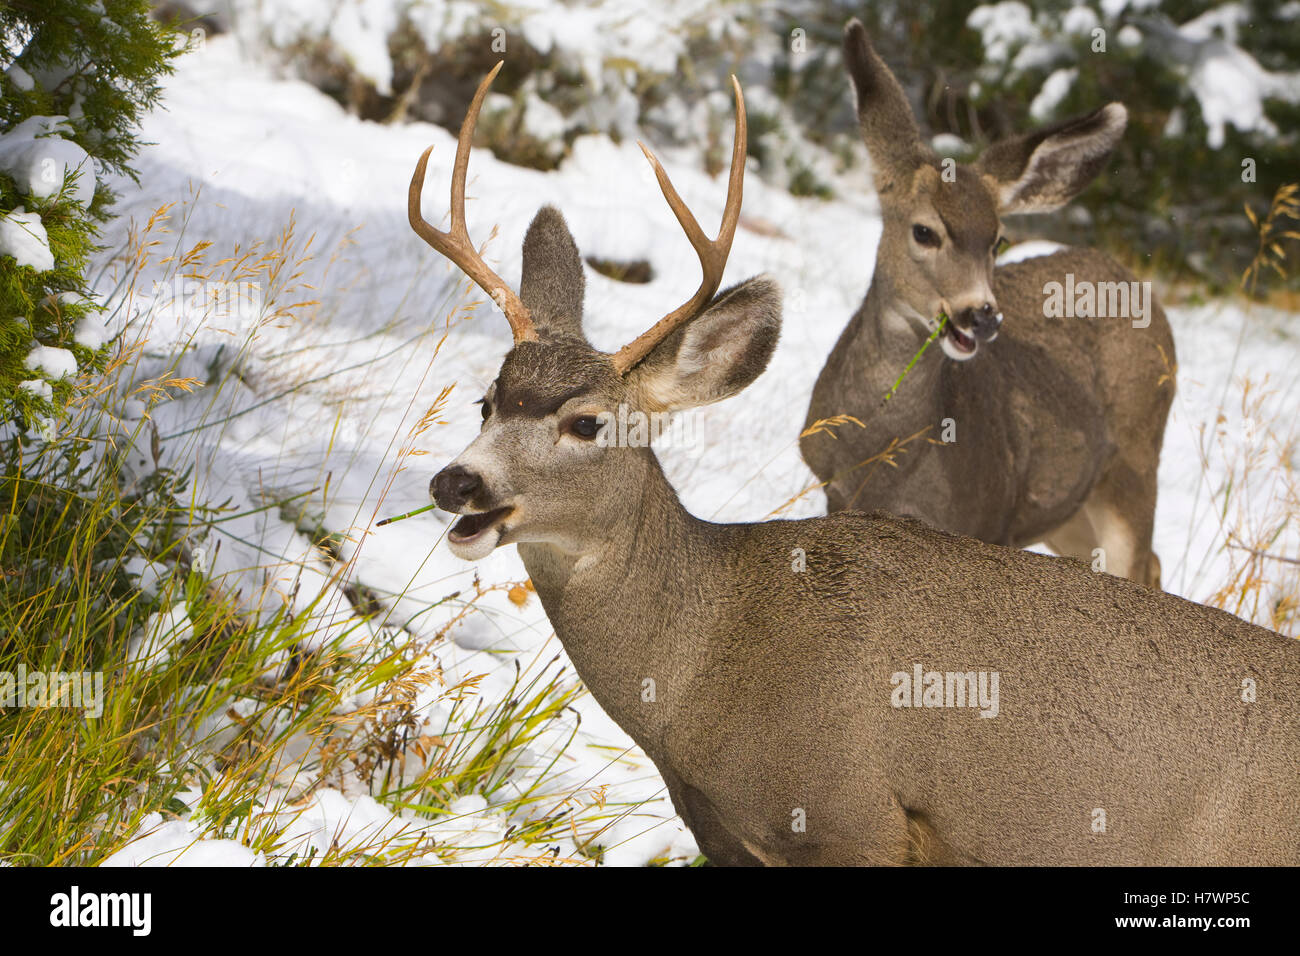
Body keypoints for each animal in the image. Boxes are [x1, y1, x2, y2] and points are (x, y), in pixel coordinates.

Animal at [801, 21, 1175, 590]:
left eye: (997, 240)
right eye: (924, 231)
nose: (981, 315)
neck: (885, 460)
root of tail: (1139, 286)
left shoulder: (989, 517)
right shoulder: (835, 494)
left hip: (1134, 462)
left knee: (1139, 559)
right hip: (1068, 508)